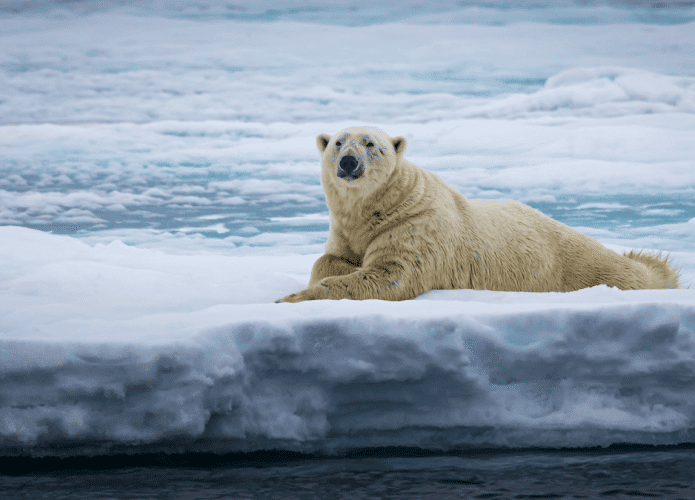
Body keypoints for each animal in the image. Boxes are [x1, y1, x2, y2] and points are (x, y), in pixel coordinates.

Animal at [275, 126, 679, 303]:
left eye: (371, 143)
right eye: (338, 142)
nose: (348, 162)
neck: (383, 206)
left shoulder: (416, 227)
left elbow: (390, 276)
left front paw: (291, 298)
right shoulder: (347, 228)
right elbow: (331, 259)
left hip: (576, 264)